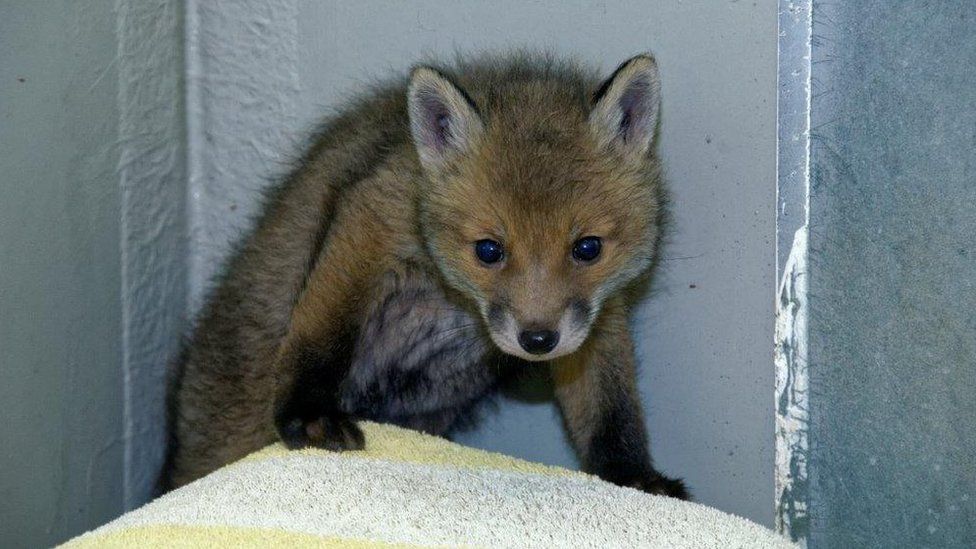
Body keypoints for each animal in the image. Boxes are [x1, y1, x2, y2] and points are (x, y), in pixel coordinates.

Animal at [165, 52, 687, 498]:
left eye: (587, 248)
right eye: (489, 250)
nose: (538, 341)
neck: (451, 295)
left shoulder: (597, 311)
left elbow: (607, 406)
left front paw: (633, 476)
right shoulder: (371, 217)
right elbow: (322, 333)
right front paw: (309, 416)